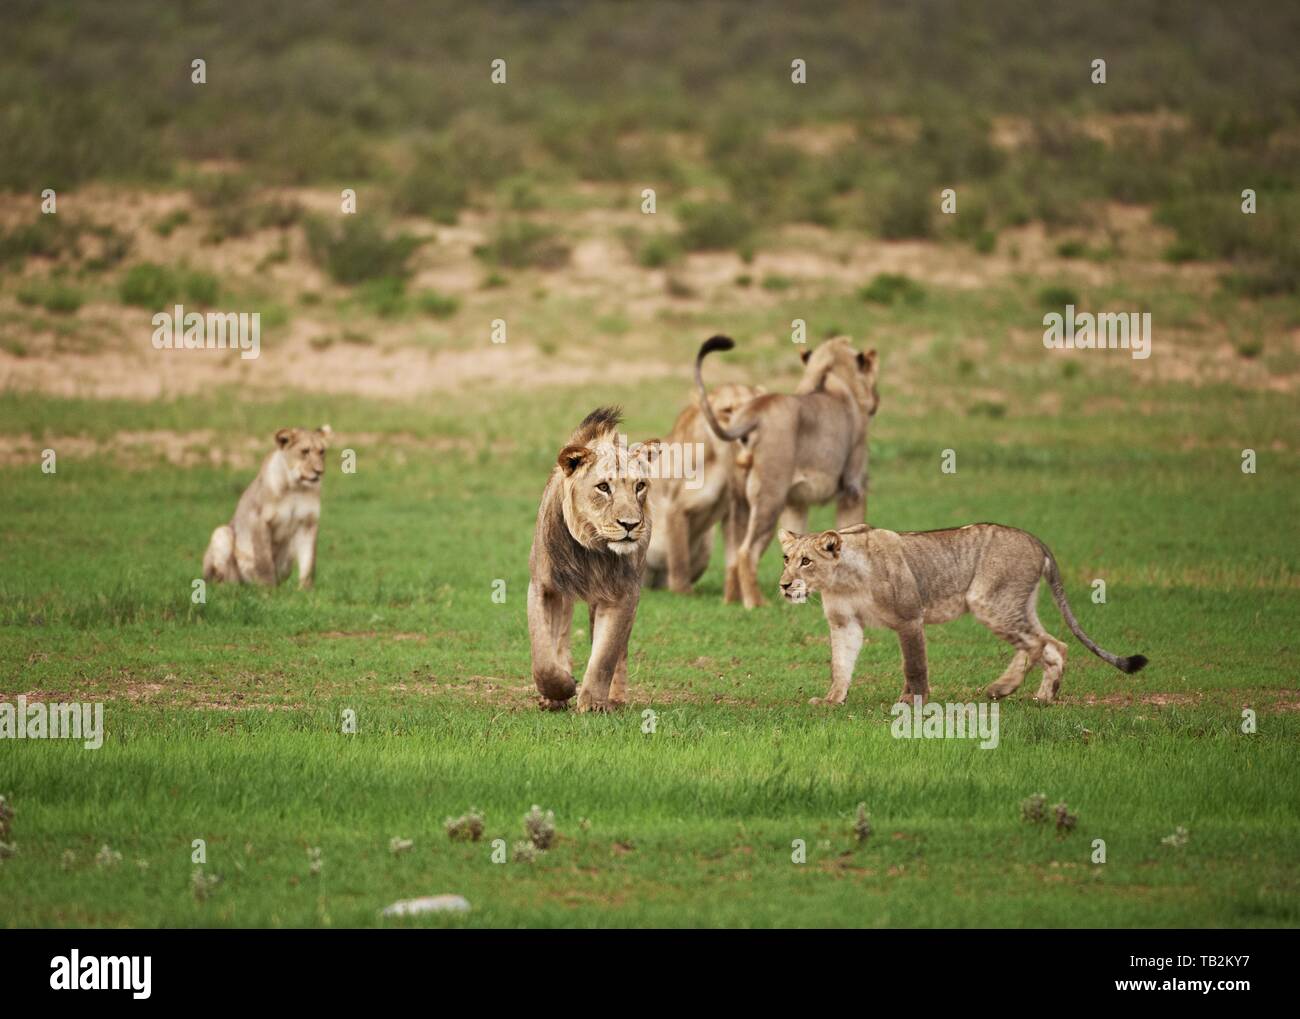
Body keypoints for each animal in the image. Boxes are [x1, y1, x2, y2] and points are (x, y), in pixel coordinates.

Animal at [202, 425, 332, 589]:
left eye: (322, 451)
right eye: (305, 451)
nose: (319, 471)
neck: (295, 487)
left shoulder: (308, 523)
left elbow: (309, 562)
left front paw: (306, 590)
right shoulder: (258, 519)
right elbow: (264, 559)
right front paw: (268, 589)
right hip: (222, 533)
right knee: (219, 580)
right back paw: (228, 588)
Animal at [528, 407, 660, 712]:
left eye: (639, 486)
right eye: (603, 487)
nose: (630, 524)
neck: (592, 549)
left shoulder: (623, 594)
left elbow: (605, 655)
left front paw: (593, 703)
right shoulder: (542, 587)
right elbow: (543, 656)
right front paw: (561, 688)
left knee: (619, 650)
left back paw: (616, 697)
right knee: (560, 638)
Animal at [643, 382, 764, 593]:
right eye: (727, 410)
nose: (745, 435)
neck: (723, 456)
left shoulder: (732, 511)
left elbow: (734, 556)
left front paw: (736, 595)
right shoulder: (674, 507)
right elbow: (679, 559)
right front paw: (683, 594)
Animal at [695, 334, 879, 609]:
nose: (877, 400)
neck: (830, 374)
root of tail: (753, 412)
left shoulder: (795, 502)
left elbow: (797, 544)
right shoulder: (853, 488)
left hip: (740, 501)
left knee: (732, 553)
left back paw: (732, 600)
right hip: (770, 496)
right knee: (746, 552)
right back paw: (756, 603)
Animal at [778, 523, 1148, 706]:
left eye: (806, 561)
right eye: (786, 558)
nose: (783, 585)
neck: (841, 580)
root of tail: (1035, 539)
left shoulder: (910, 616)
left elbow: (914, 664)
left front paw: (913, 701)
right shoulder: (844, 624)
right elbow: (841, 664)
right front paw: (832, 700)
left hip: (990, 601)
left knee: (1040, 644)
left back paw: (1009, 690)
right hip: (1015, 603)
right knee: (1049, 644)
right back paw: (1037, 696)